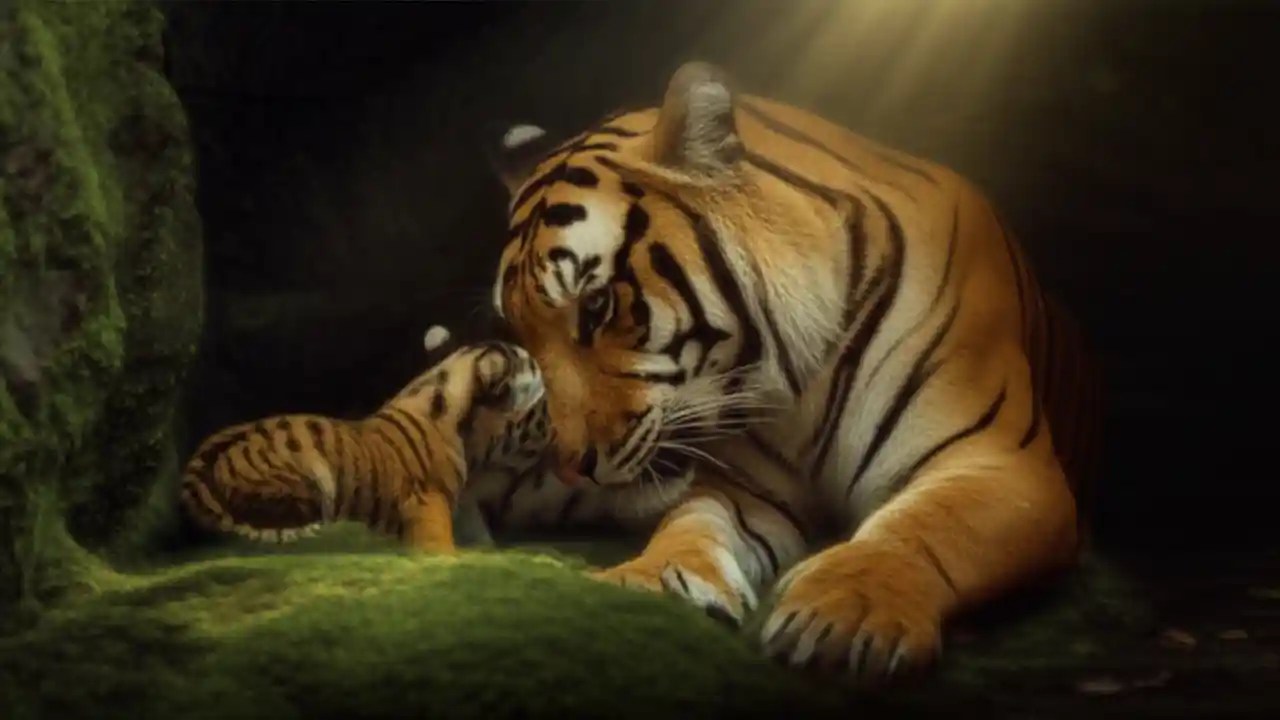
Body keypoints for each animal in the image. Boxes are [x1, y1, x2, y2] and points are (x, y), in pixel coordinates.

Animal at [474, 60, 1102, 683]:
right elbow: (689, 525)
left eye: (597, 305)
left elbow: (929, 526)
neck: (803, 381)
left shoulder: (1001, 463)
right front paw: (647, 579)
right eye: (523, 333)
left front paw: (846, 612)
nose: (570, 465)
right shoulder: (746, 492)